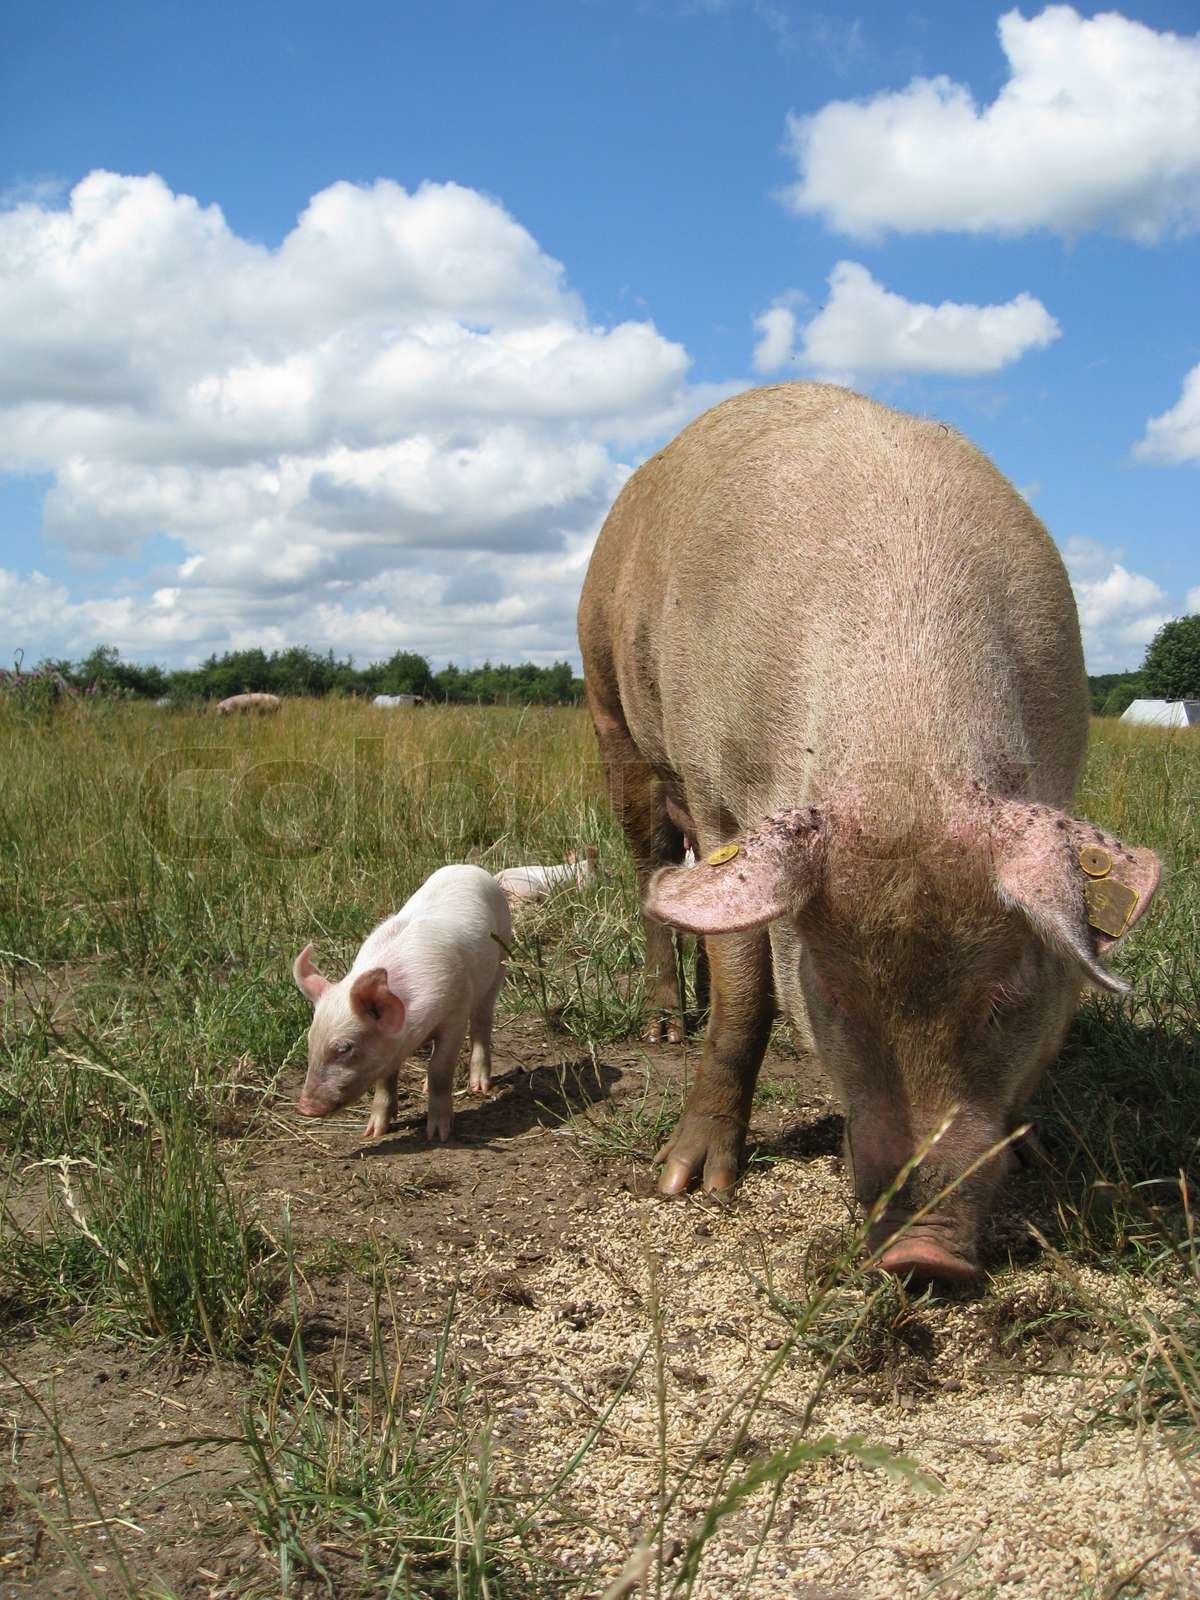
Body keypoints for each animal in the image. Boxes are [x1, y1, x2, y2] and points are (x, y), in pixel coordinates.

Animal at [291, 864, 511, 1142]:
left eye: (345, 1048)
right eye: (310, 1041)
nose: (305, 1108)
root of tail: (469, 867)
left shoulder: (455, 1012)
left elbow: (440, 1068)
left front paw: (437, 1135)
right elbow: (385, 1077)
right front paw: (373, 1132)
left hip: (500, 961)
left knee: (482, 1023)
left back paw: (479, 1086)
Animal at [578, 382, 1160, 1284]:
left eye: (1007, 996)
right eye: (834, 994)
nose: (923, 1256)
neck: (905, 769)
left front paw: (1035, 1160)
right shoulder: (717, 796)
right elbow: (748, 995)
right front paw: (691, 1186)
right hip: (613, 717)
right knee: (653, 878)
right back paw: (667, 1025)